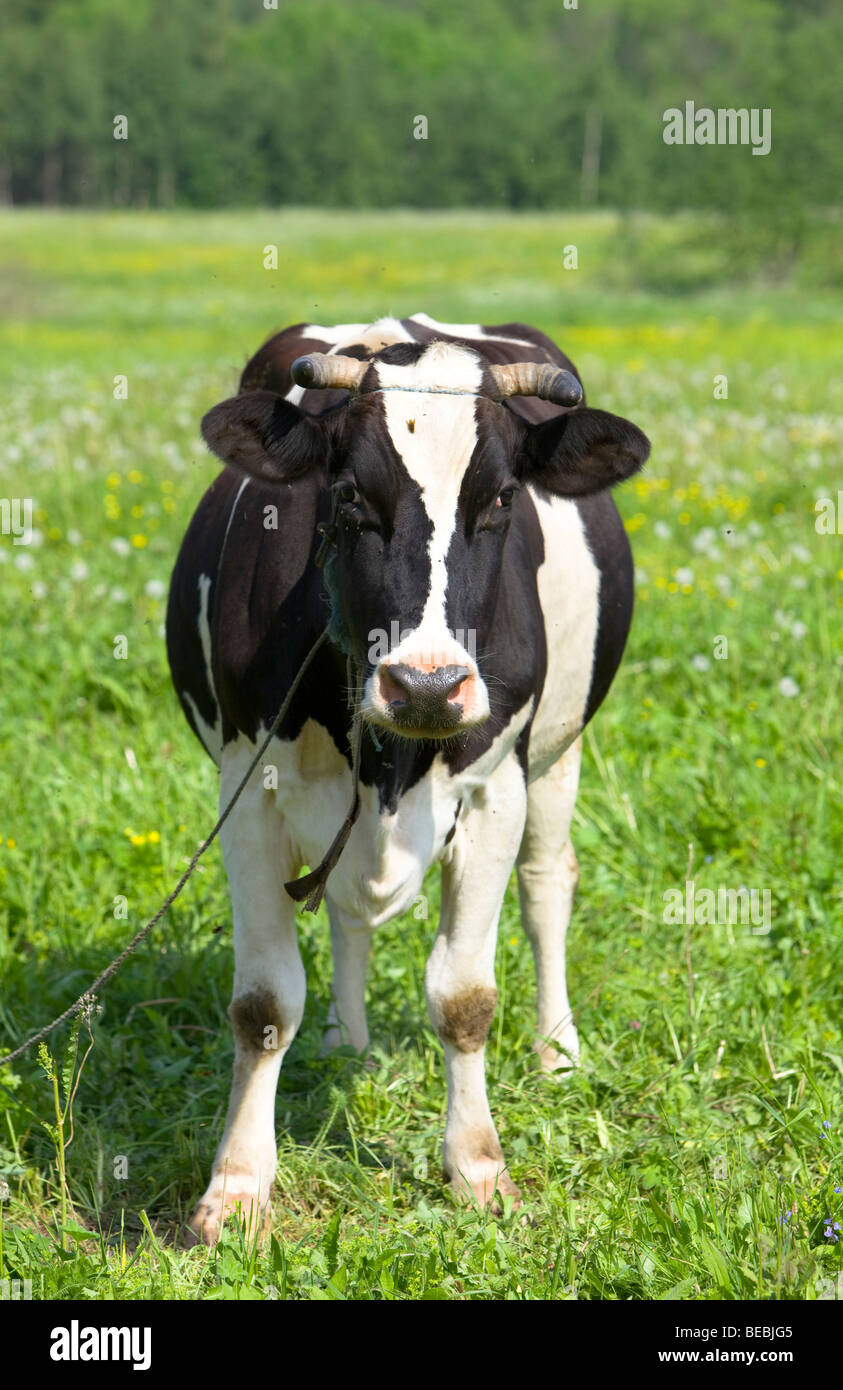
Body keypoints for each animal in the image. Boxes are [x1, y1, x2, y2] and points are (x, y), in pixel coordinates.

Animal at [166, 313, 649, 1243]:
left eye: (501, 499)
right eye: (349, 495)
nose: (426, 685)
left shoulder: (496, 790)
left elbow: (463, 996)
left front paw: (478, 1167)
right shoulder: (248, 792)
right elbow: (263, 1004)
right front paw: (237, 1186)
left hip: (559, 752)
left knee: (547, 884)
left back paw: (557, 1051)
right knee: (346, 914)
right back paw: (346, 1039)